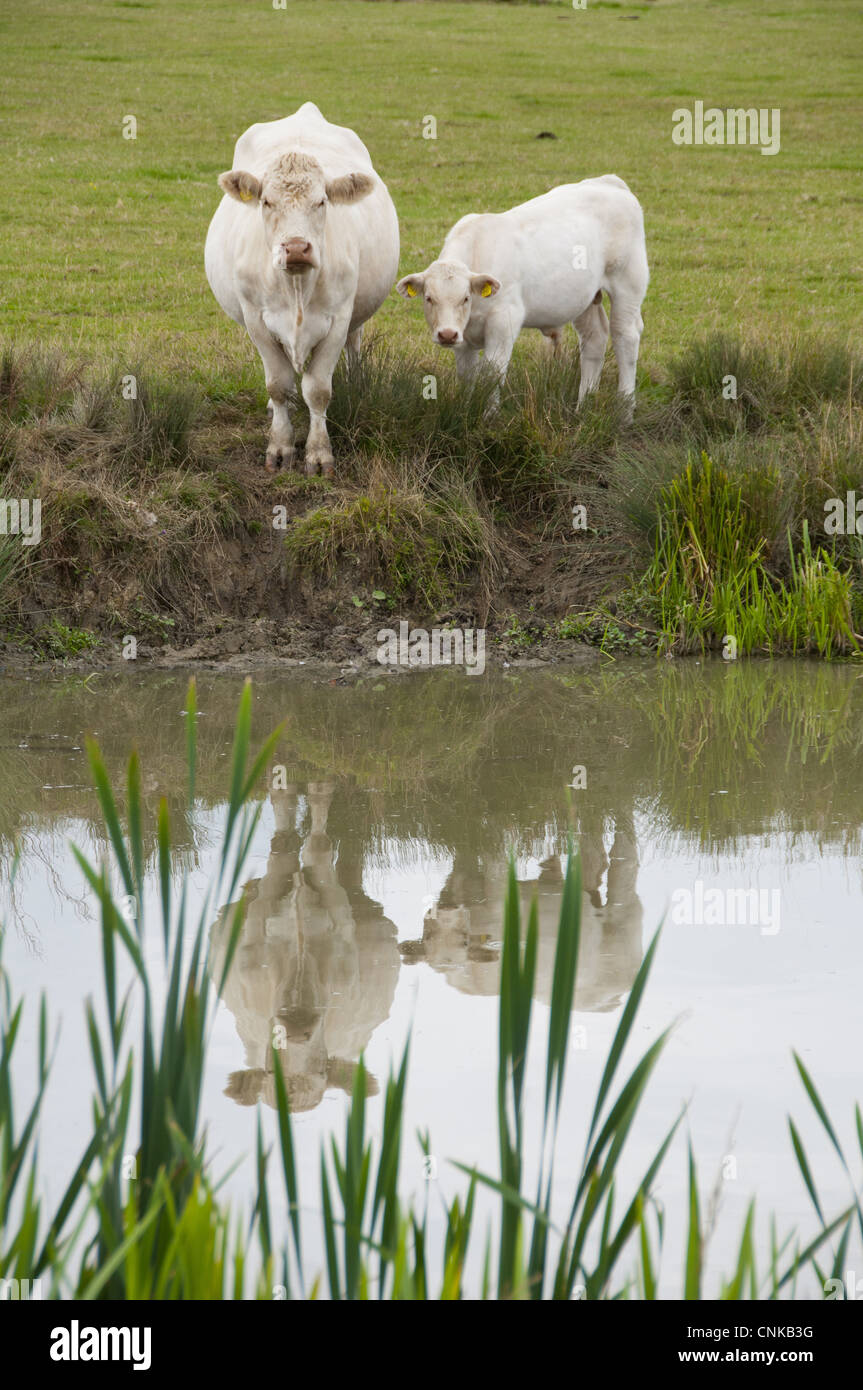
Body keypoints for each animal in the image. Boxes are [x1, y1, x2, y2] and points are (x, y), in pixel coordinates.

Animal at [205, 102, 399, 475]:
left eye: (321, 201)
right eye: (266, 202)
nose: (295, 248)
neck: (296, 287)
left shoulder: (338, 318)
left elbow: (318, 389)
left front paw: (319, 454)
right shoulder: (256, 319)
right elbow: (279, 385)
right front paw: (280, 446)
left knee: (353, 346)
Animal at [396, 177, 648, 411]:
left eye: (465, 298)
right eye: (429, 298)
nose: (447, 335)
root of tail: (608, 182)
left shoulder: (504, 320)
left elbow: (493, 373)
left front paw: (489, 418)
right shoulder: (464, 338)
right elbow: (467, 376)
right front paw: (465, 412)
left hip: (628, 284)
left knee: (625, 337)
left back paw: (625, 413)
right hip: (584, 299)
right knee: (595, 338)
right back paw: (582, 407)